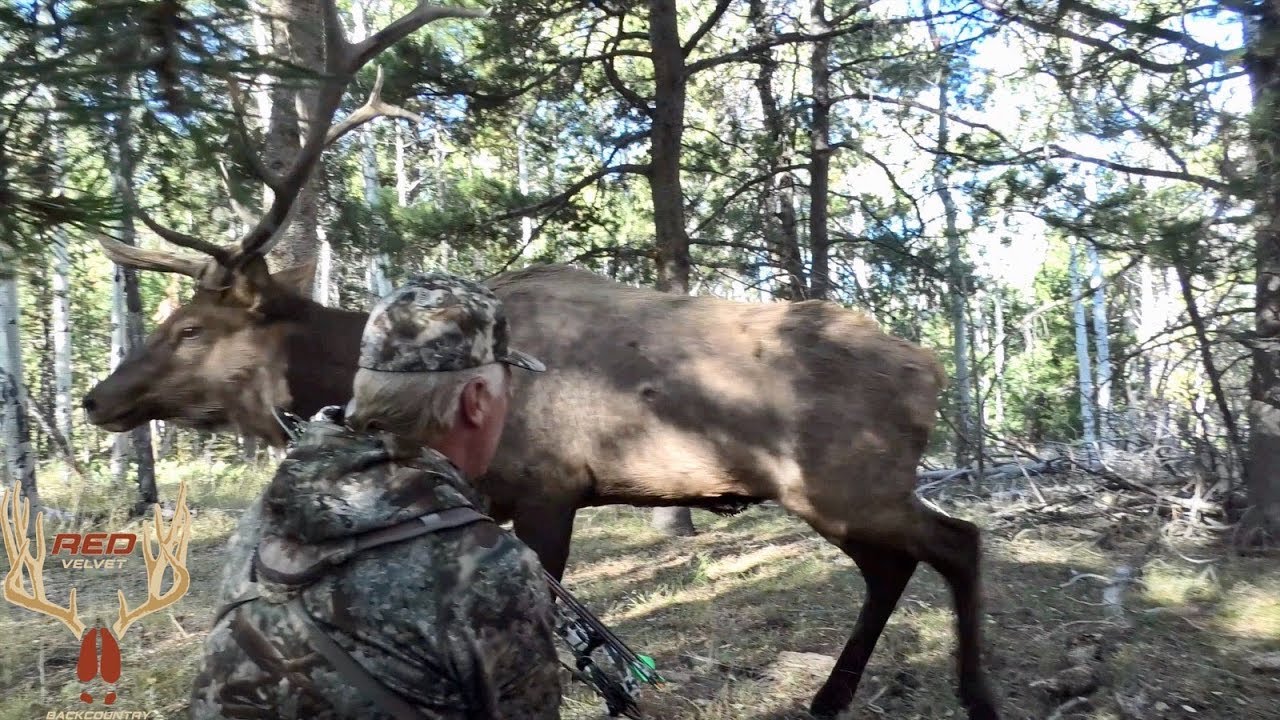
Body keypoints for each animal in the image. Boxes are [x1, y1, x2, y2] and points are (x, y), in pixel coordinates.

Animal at [79, 3, 1002, 718]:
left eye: (190, 329)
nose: (96, 398)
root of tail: (930, 369)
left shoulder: (551, 485)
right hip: (831, 494)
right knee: (894, 566)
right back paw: (829, 697)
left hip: (848, 479)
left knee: (957, 542)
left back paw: (974, 695)